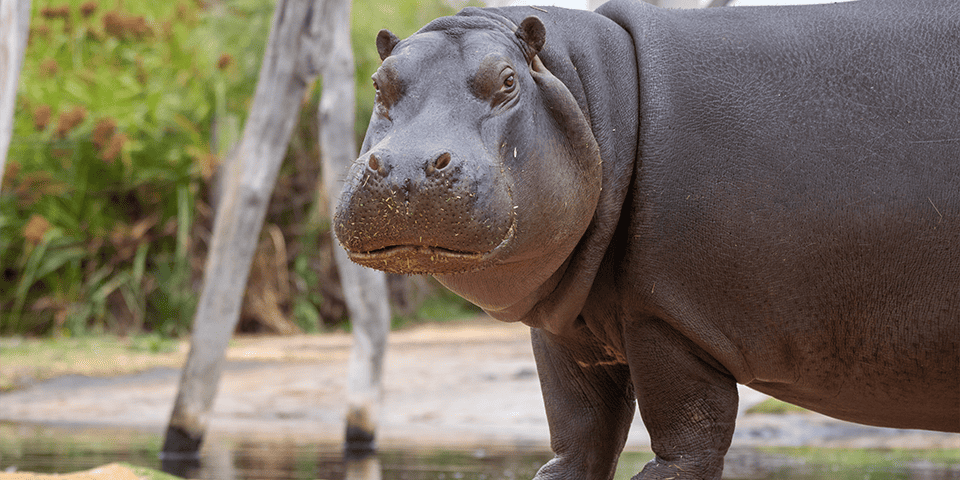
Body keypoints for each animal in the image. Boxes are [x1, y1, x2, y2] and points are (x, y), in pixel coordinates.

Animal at [333, 0, 960, 478]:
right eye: (379, 83)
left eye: (508, 80)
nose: (408, 168)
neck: (594, 90)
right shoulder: (569, 331)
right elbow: (574, 450)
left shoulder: (667, 320)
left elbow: (686, 449)